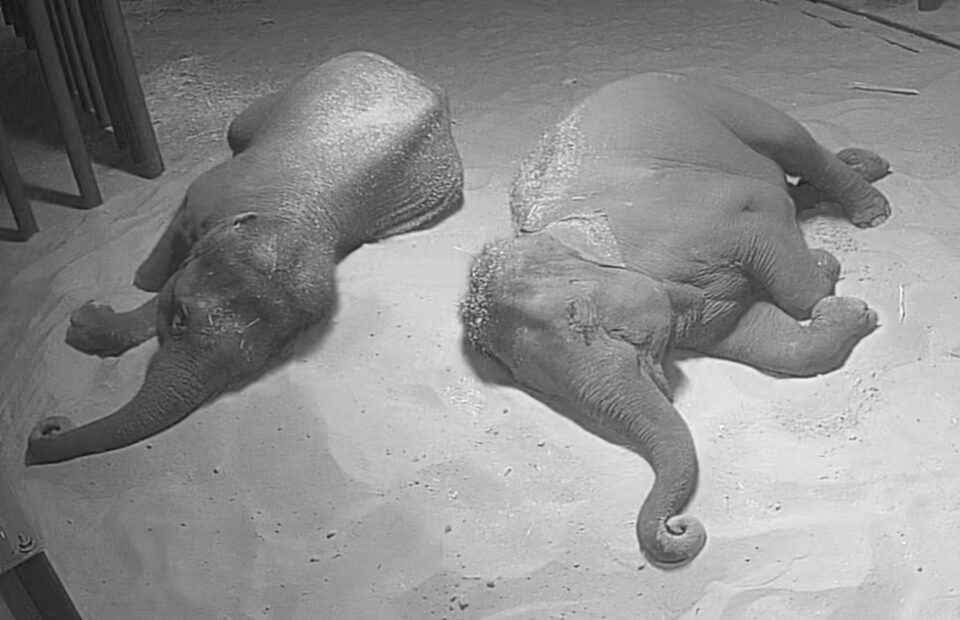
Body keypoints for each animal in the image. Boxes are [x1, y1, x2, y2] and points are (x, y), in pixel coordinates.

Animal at [26, 51, 463, 466]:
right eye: (180, 318)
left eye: (257, 363)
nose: (50, 427)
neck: (296, 216)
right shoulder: (210, 193)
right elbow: (173, 250)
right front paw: (135, 287)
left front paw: (89, 321)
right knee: (236, 128)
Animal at [459, 73, 891, 567]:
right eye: (532, 384)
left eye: (581, 317)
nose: (680, 526)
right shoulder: (704, 314)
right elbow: (765, 338)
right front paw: (848, 308)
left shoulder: (706, 216)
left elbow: (769, 222)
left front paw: (827, 269)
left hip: (712, 98)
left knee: (793, 144)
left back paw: (871, 203)